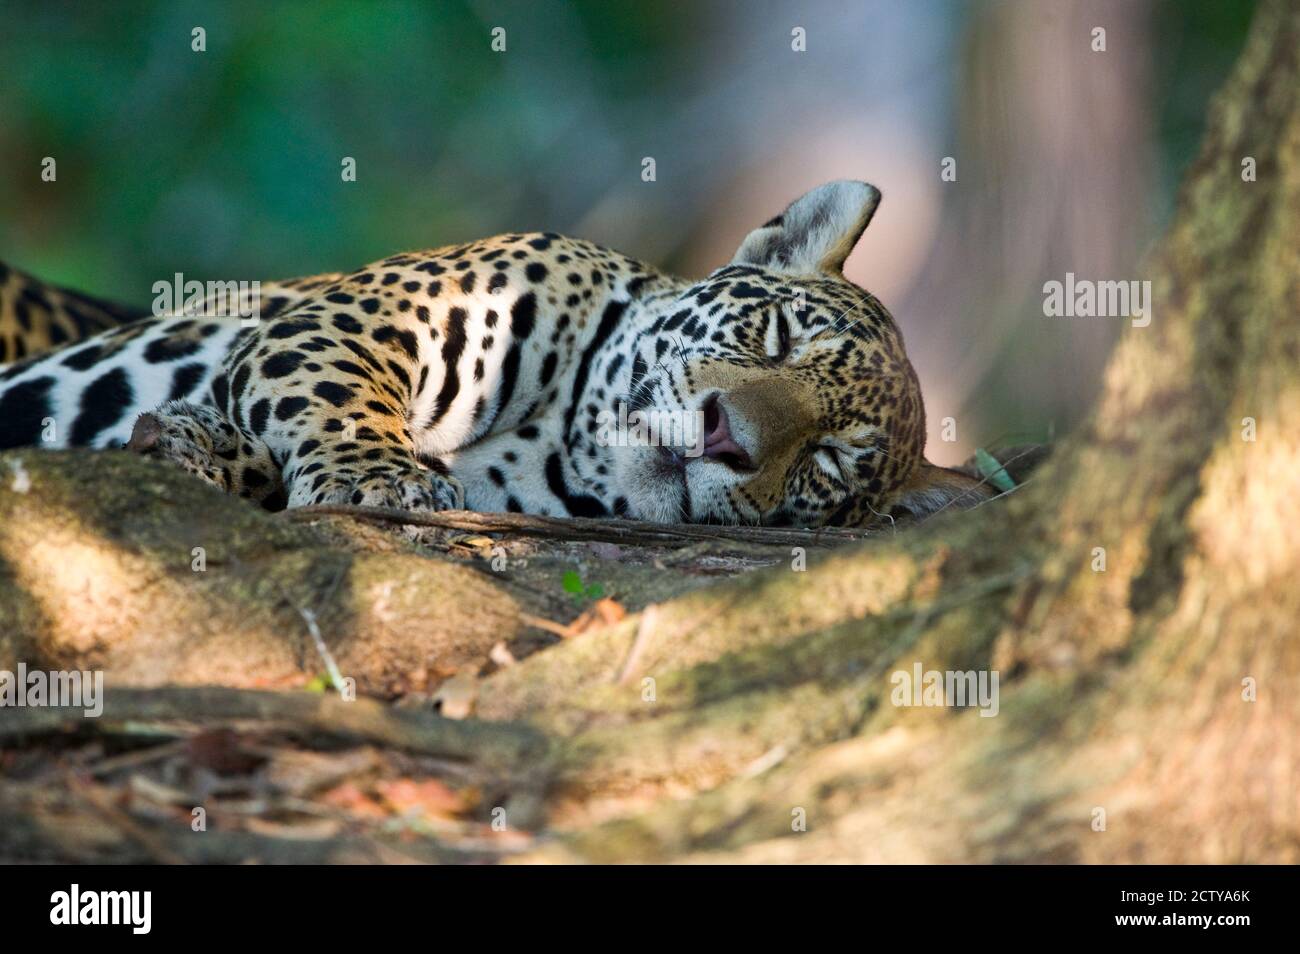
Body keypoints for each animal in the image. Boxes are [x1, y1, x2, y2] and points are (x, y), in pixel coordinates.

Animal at [0, 181, 992, 529]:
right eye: (777, 335)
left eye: (828, 462)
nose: (726, 439)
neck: (561, 444)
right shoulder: (350, 319)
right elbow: (338, 396)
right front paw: (376, 479)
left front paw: (193, 445)